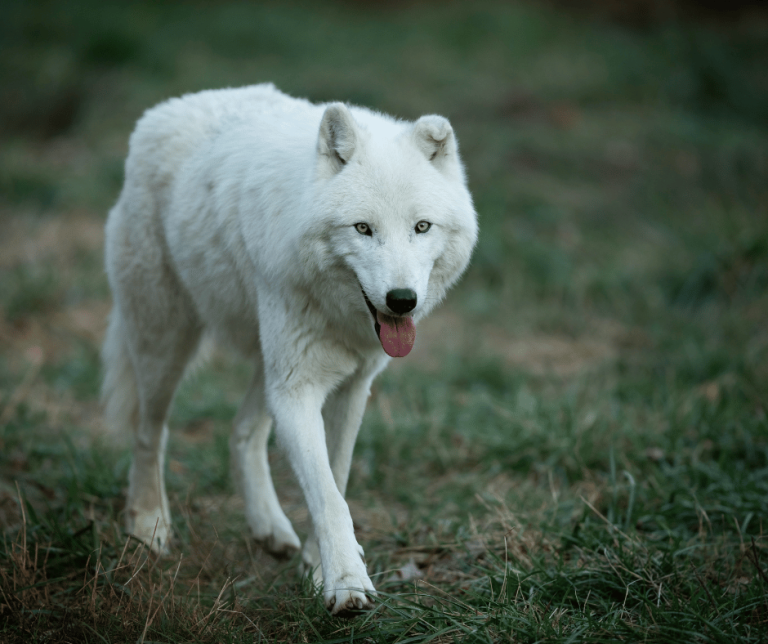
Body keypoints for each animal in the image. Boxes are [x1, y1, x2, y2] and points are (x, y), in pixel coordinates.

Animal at [101, 83, 477, 614]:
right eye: (363, 229)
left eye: (421, 227)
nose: (402, 300)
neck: (342, 315)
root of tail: (168, 107)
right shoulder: (298, 390)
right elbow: (328, 496)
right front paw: (345, 584)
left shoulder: (352, 386)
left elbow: (336, 479)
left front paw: (318, 568)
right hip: (166, 343)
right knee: (148, 432)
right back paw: (149, 523)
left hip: (268, 362)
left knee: (241, 431)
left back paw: (269, 528)